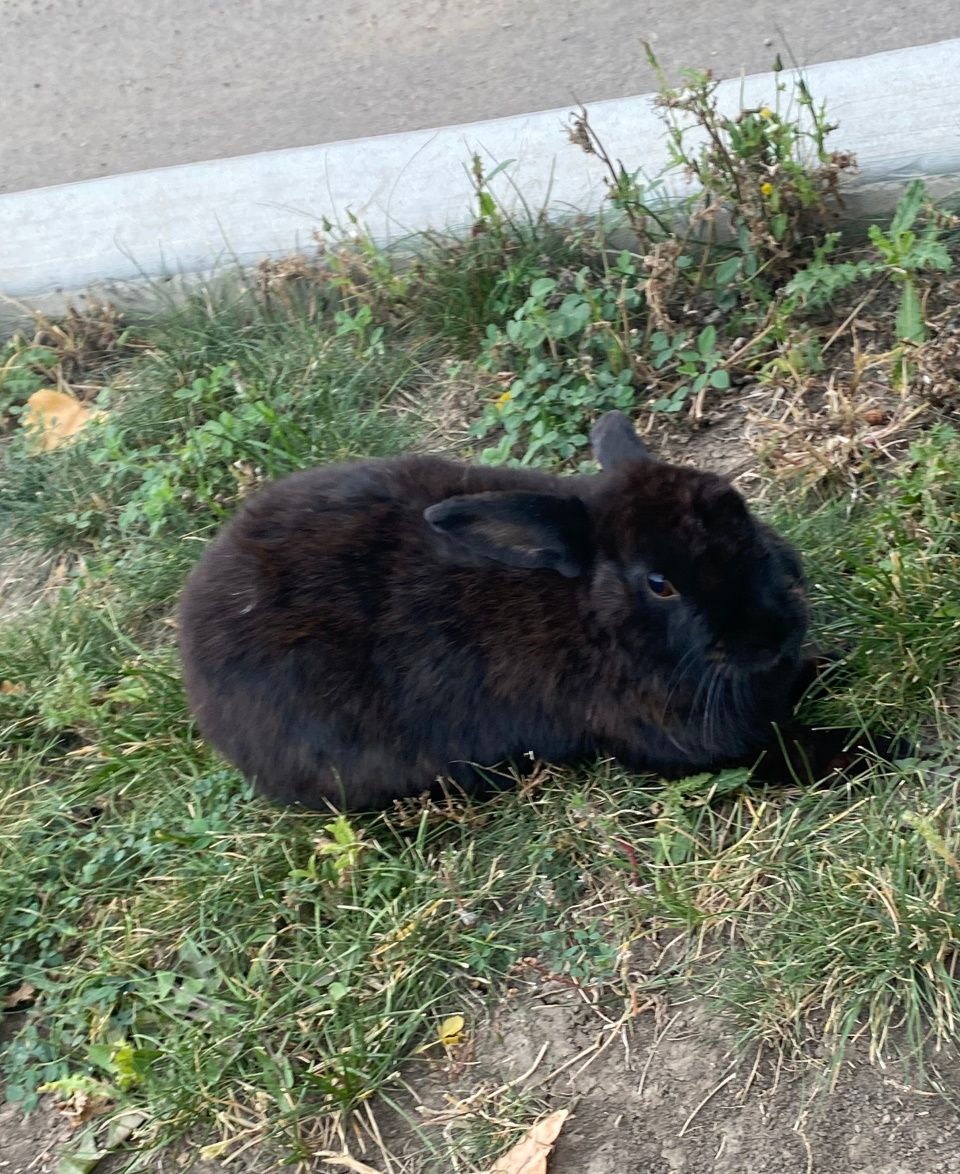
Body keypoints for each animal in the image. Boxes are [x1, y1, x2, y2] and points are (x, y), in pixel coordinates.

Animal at [178, 410, 897, 811]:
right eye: (659, 583)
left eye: (740, 511)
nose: (775, 631)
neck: (601, 624)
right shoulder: (704, 745)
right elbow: (794, 750)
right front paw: (885, 747)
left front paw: (830, 663)